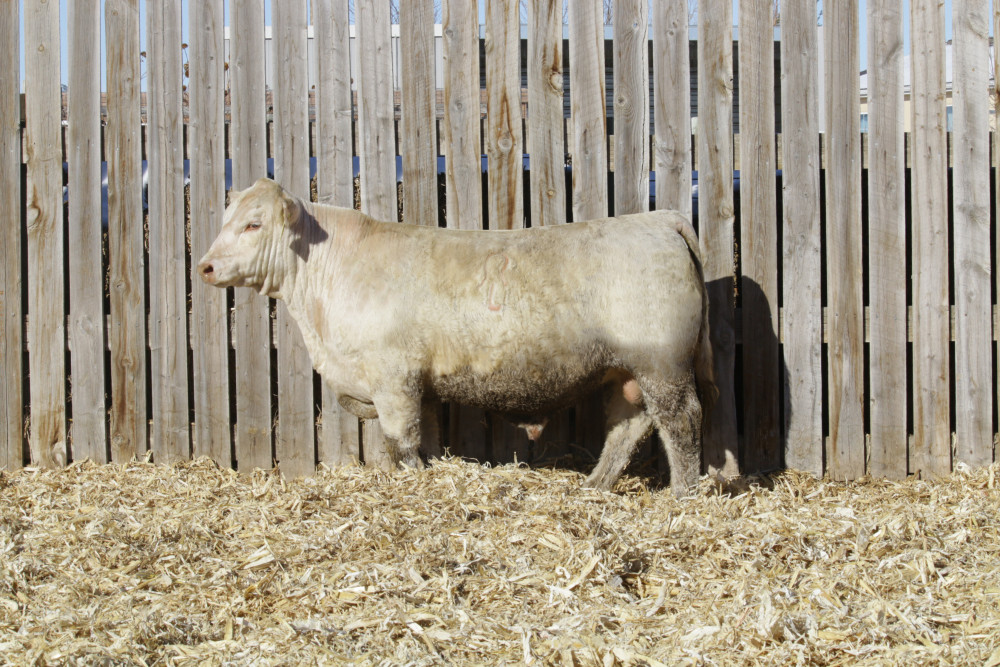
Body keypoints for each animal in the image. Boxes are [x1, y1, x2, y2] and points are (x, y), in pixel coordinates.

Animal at [198, 178, 714, 496]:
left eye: (253, 223)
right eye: (225, 220)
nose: (204, 265)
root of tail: (659, 219)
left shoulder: (394, 379)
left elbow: (401, 442)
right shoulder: (417, 385)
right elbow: (422, 436)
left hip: (662, 362)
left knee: (681, 422)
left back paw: (682, 496)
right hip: (625, 371)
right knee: (629, 426)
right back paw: (595, 485)